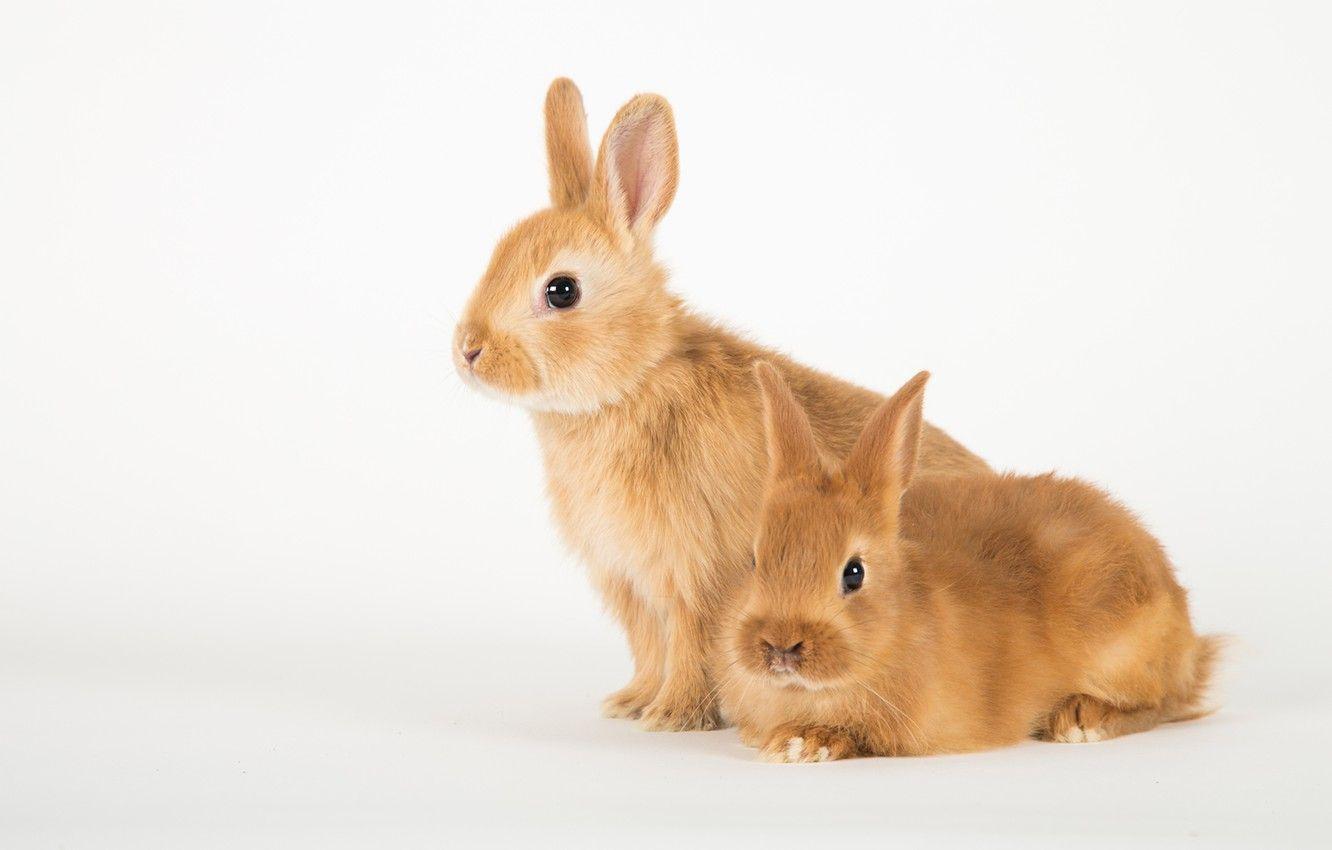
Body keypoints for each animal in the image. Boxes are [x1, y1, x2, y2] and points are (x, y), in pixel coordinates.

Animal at [453, 79, 989, 731]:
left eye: (561, 290)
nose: (468, 350)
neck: (631, 383)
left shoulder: (696, 573)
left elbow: (690, 643)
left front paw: (672, 716)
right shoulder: (631, 584)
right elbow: (649, 645)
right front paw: (632, 702)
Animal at [719, 362, 1221, 760]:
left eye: (854, 572)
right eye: (754, 561)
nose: (780, 646)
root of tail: (1188, 636)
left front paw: (801, 743)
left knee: (1164, 703)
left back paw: (1080, 720)